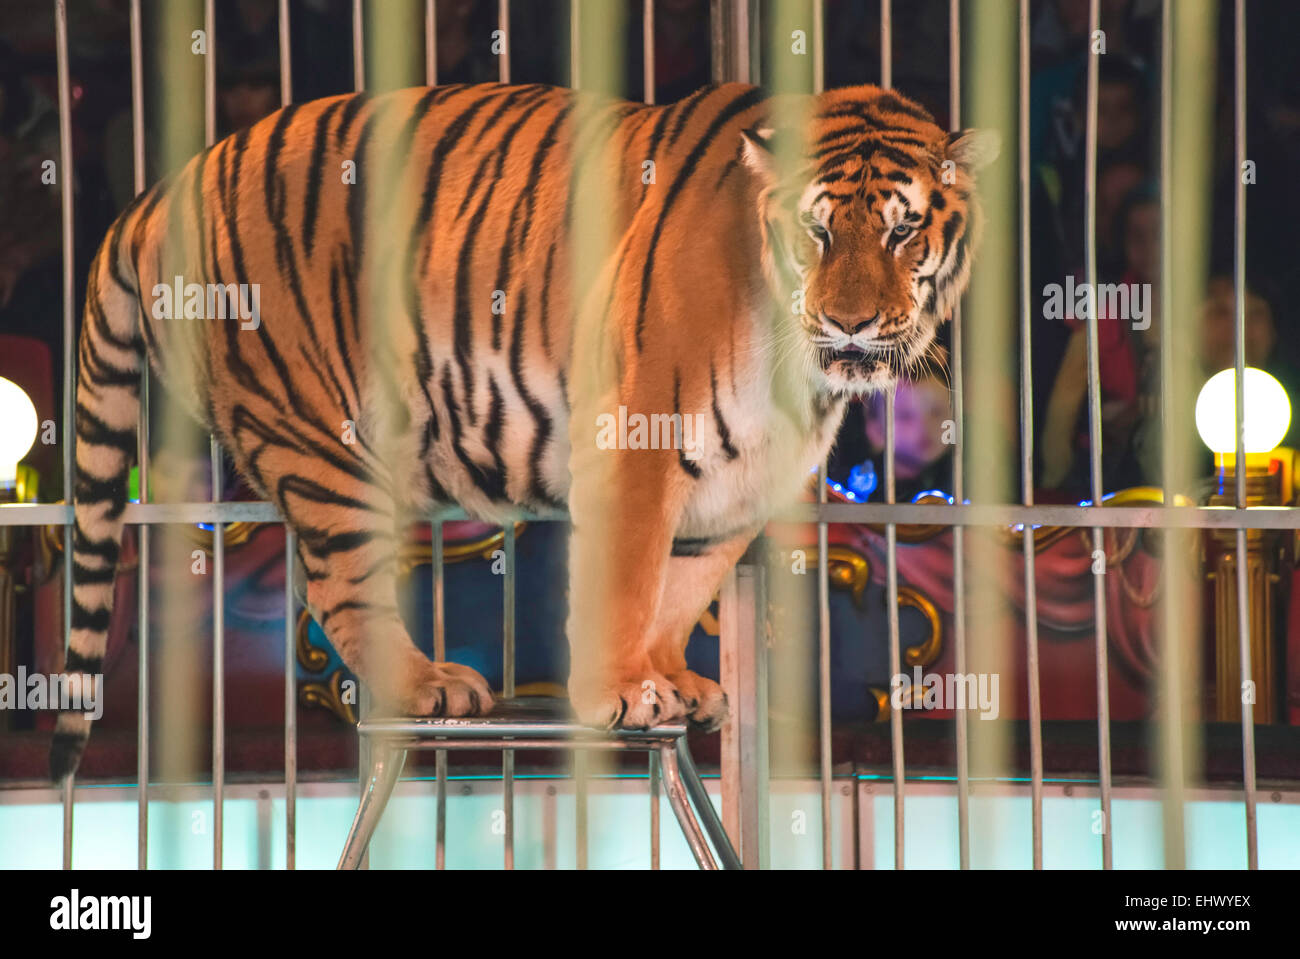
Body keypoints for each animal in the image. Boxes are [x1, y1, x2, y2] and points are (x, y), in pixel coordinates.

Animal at [51, 81, 996, 780]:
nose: (848, 323)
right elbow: (627, 579)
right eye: (817, 231)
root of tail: (161, 191)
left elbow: (682, 587)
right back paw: (430, 685)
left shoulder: (745, 475)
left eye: (903, 230)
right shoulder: (635, 439)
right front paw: (620, 690)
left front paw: (672, 679)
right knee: (338, 584)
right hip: (325, 441)